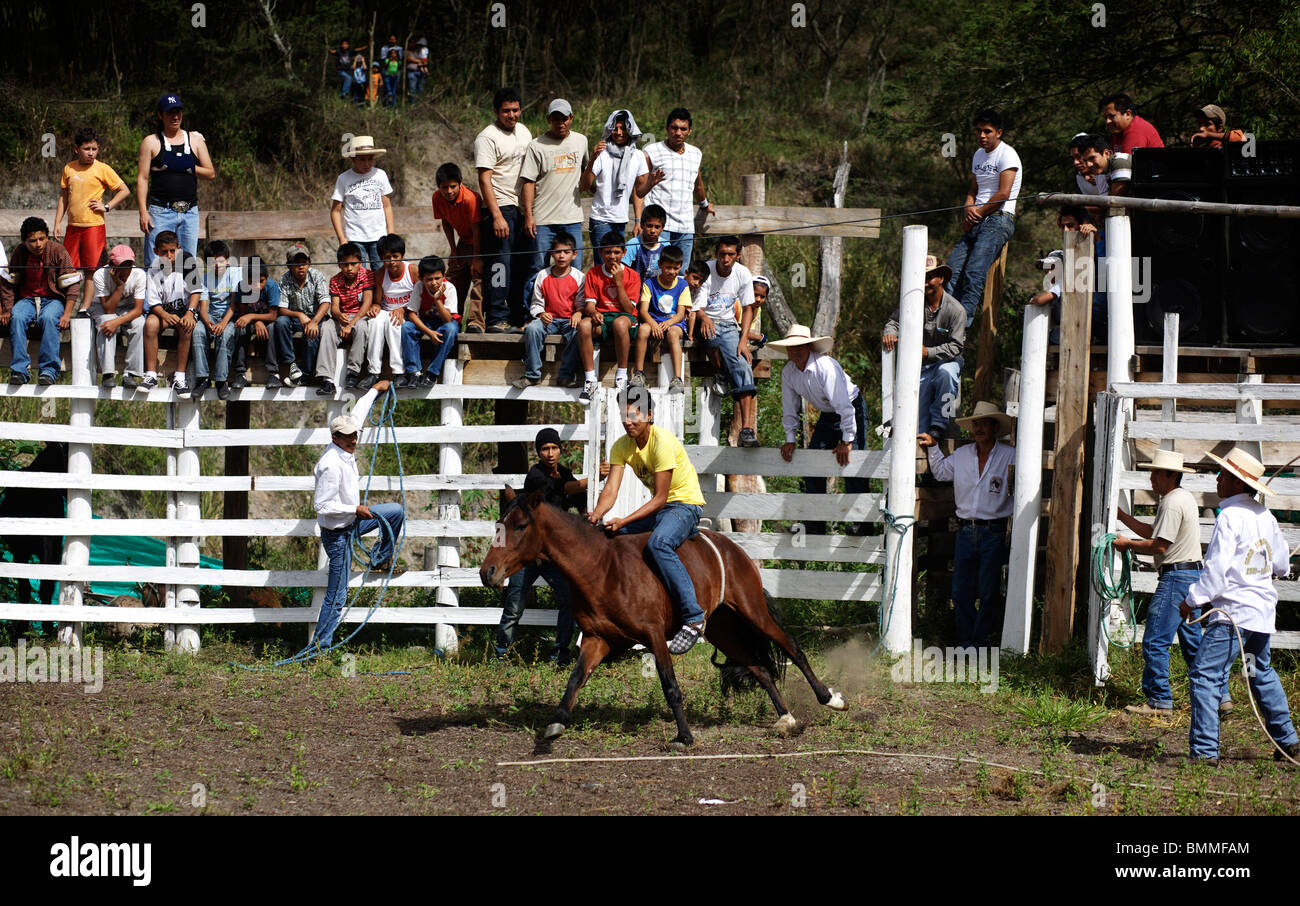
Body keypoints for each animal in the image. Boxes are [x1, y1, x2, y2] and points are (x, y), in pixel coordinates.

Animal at [479, 486, 847, 748]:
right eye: (498, 525)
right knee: (759, 668)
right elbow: (575, 679)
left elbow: (670, 685)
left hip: (752, 610)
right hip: (721, 628)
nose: (487, 573)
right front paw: (555, 723)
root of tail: (732, 548)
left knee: (792, 648)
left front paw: (684, 736)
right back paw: (785, 718)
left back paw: (830, 699)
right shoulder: (597, 640)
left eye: (521, 525)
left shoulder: (654, 635)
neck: (601, 568)